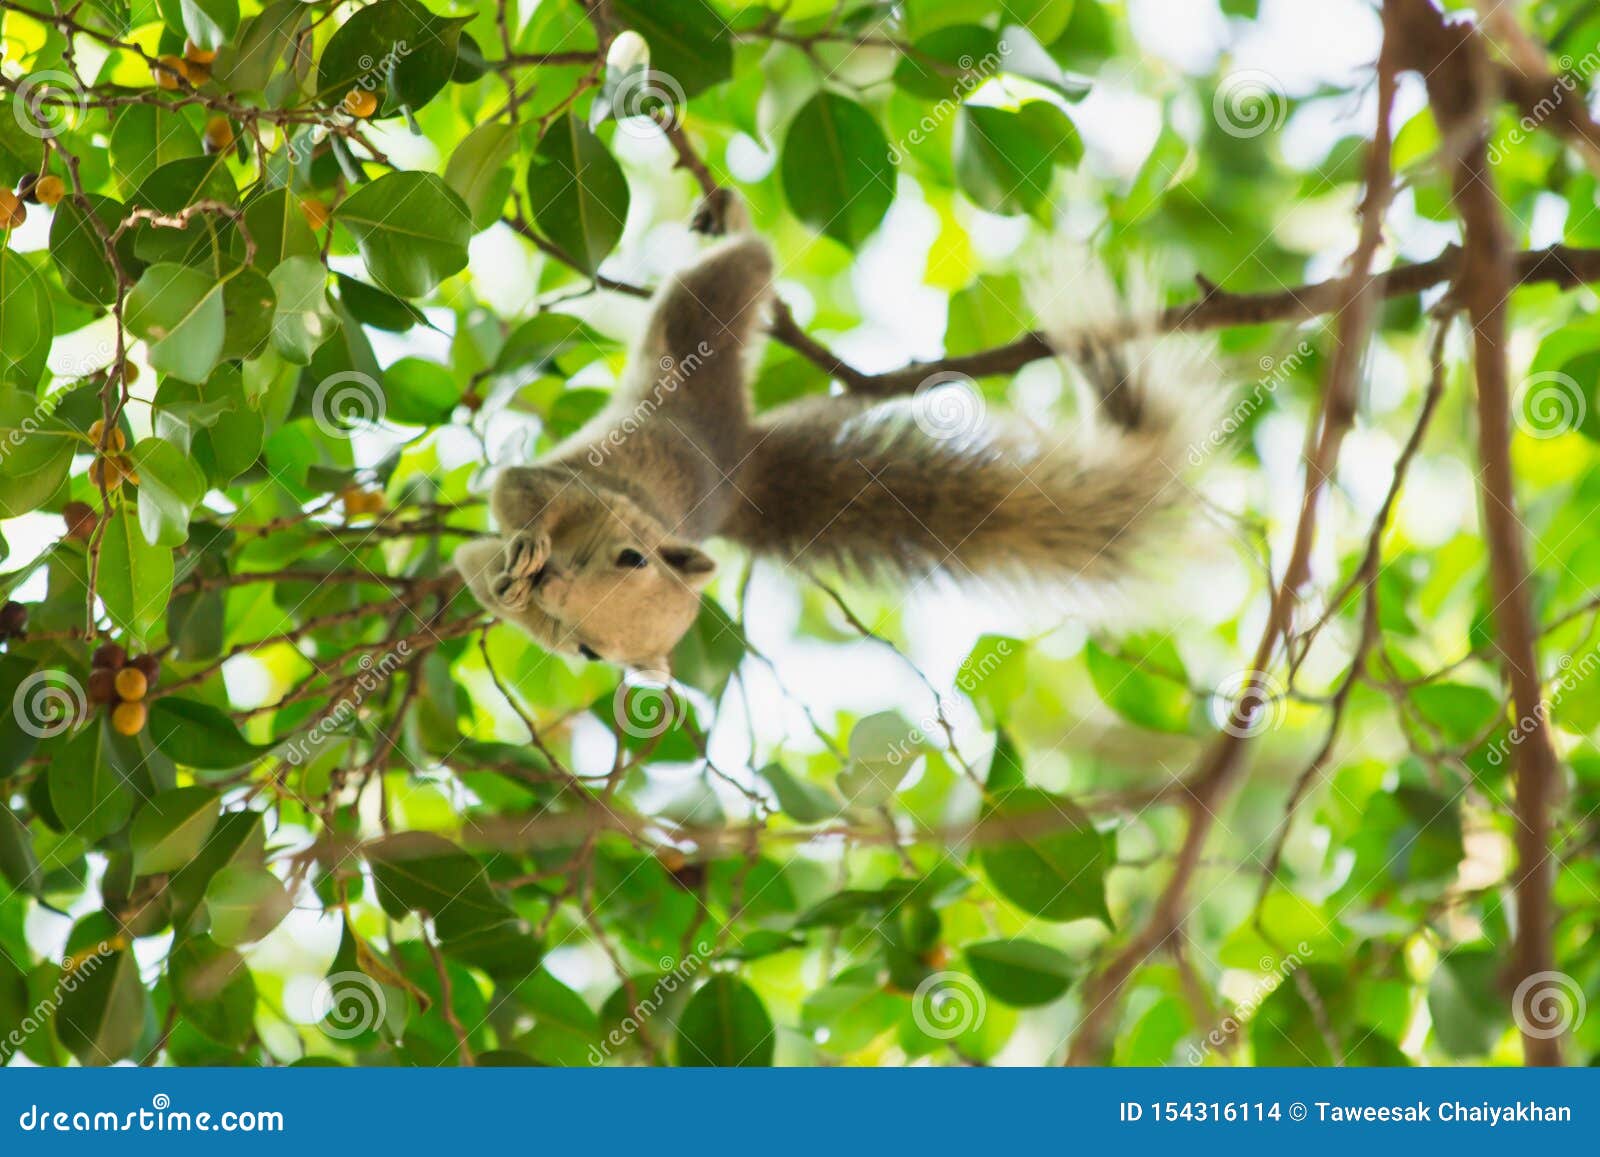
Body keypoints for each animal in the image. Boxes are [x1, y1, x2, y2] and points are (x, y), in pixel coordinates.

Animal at [455, 194, 1217, 675]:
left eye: (592, 654)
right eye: (629, 558)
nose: (553, 585)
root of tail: (744, 465)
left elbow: (478, 562)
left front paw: (516, 586)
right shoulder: (584, 485)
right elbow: (517, 491)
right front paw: (529, 547)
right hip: (696, 330)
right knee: (739, 264)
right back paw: (731, 213)